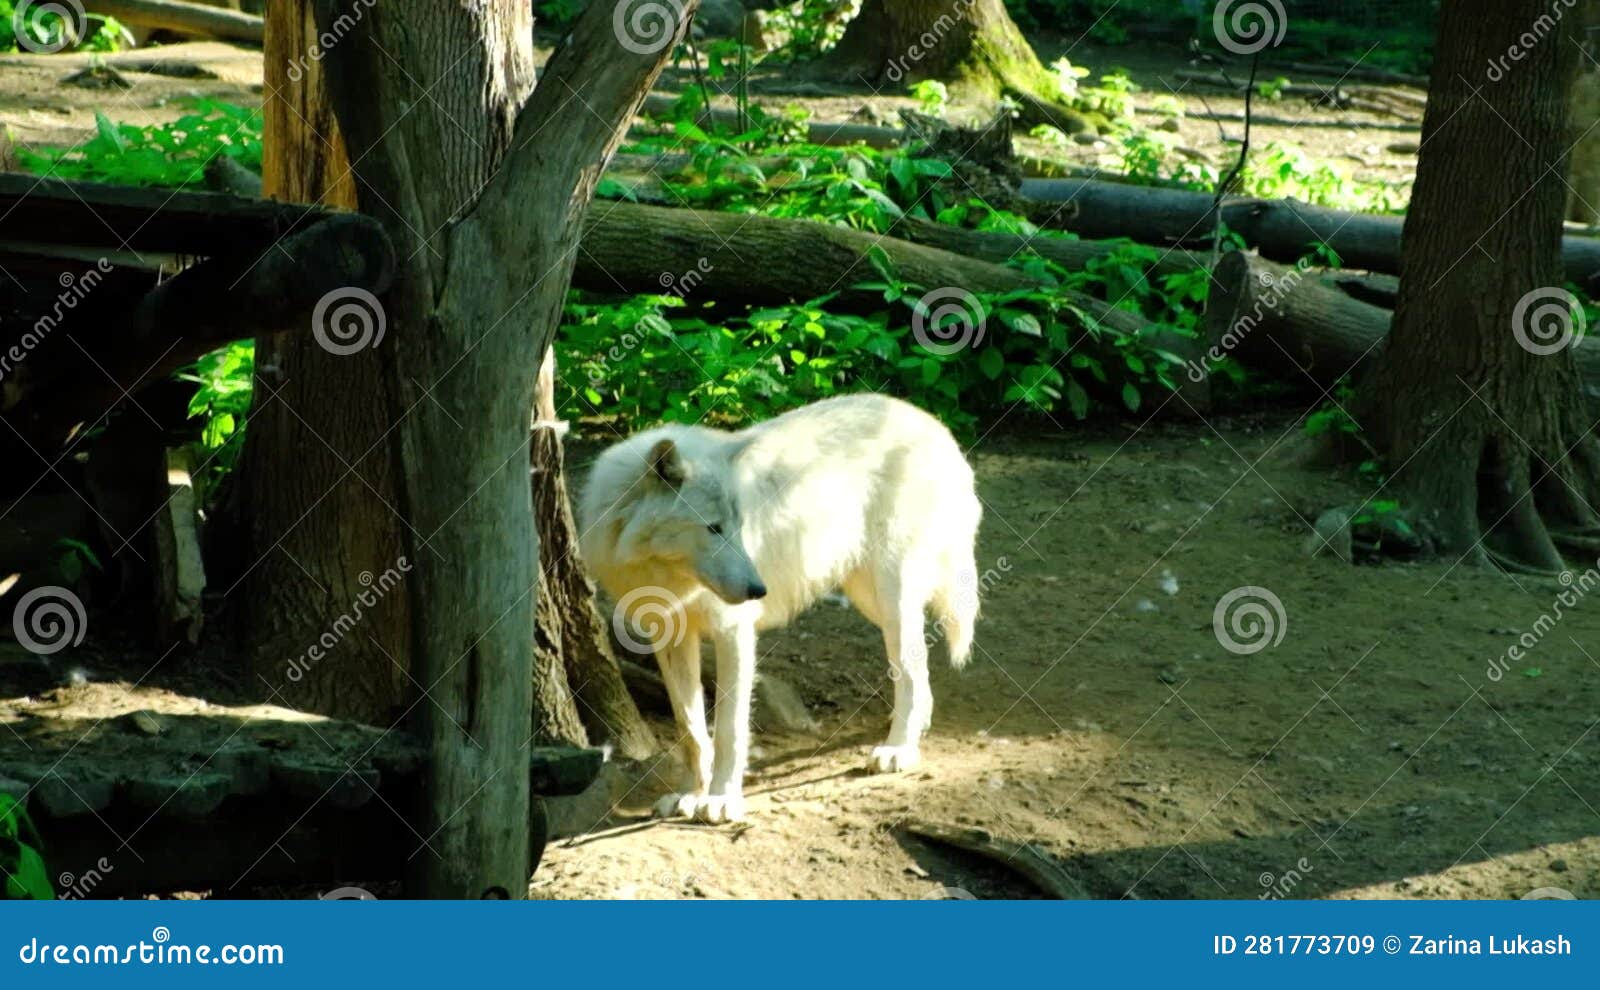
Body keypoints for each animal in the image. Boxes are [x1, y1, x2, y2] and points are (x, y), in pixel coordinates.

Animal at [578, 393, 982, 824]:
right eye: (714, 527)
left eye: (738, 526)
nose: (758, 590)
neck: (668, 575)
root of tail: (933, 426)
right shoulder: (671, 637)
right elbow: (690, 728)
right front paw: (690, 794)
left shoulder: (734, 633)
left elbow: (729, 729)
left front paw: (720, 799)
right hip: (868, 596)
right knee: (919, 665)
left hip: (891, 595)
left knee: (911, 666)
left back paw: (899, 749)